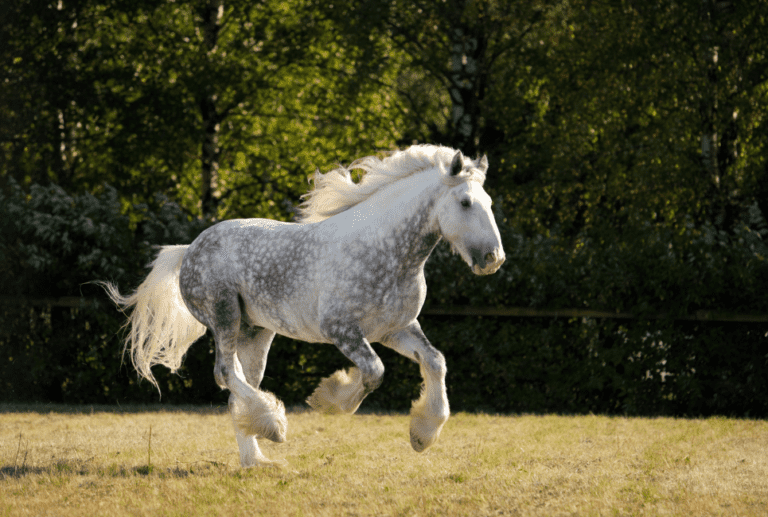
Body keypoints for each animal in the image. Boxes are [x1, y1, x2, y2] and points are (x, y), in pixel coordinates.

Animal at [101, 144, 505, 467]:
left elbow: (435, 362)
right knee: (226, 374)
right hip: (224, 317)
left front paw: (422, 435)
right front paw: (329, 400)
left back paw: (256, 460)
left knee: (238, 388)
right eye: (466, 202)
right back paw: (274, 428)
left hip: (255, 333)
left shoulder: (395, 329)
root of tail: (189, 250)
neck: (386, 251)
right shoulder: (342, 330)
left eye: (489, 203)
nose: (493, 259)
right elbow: (374, 372)